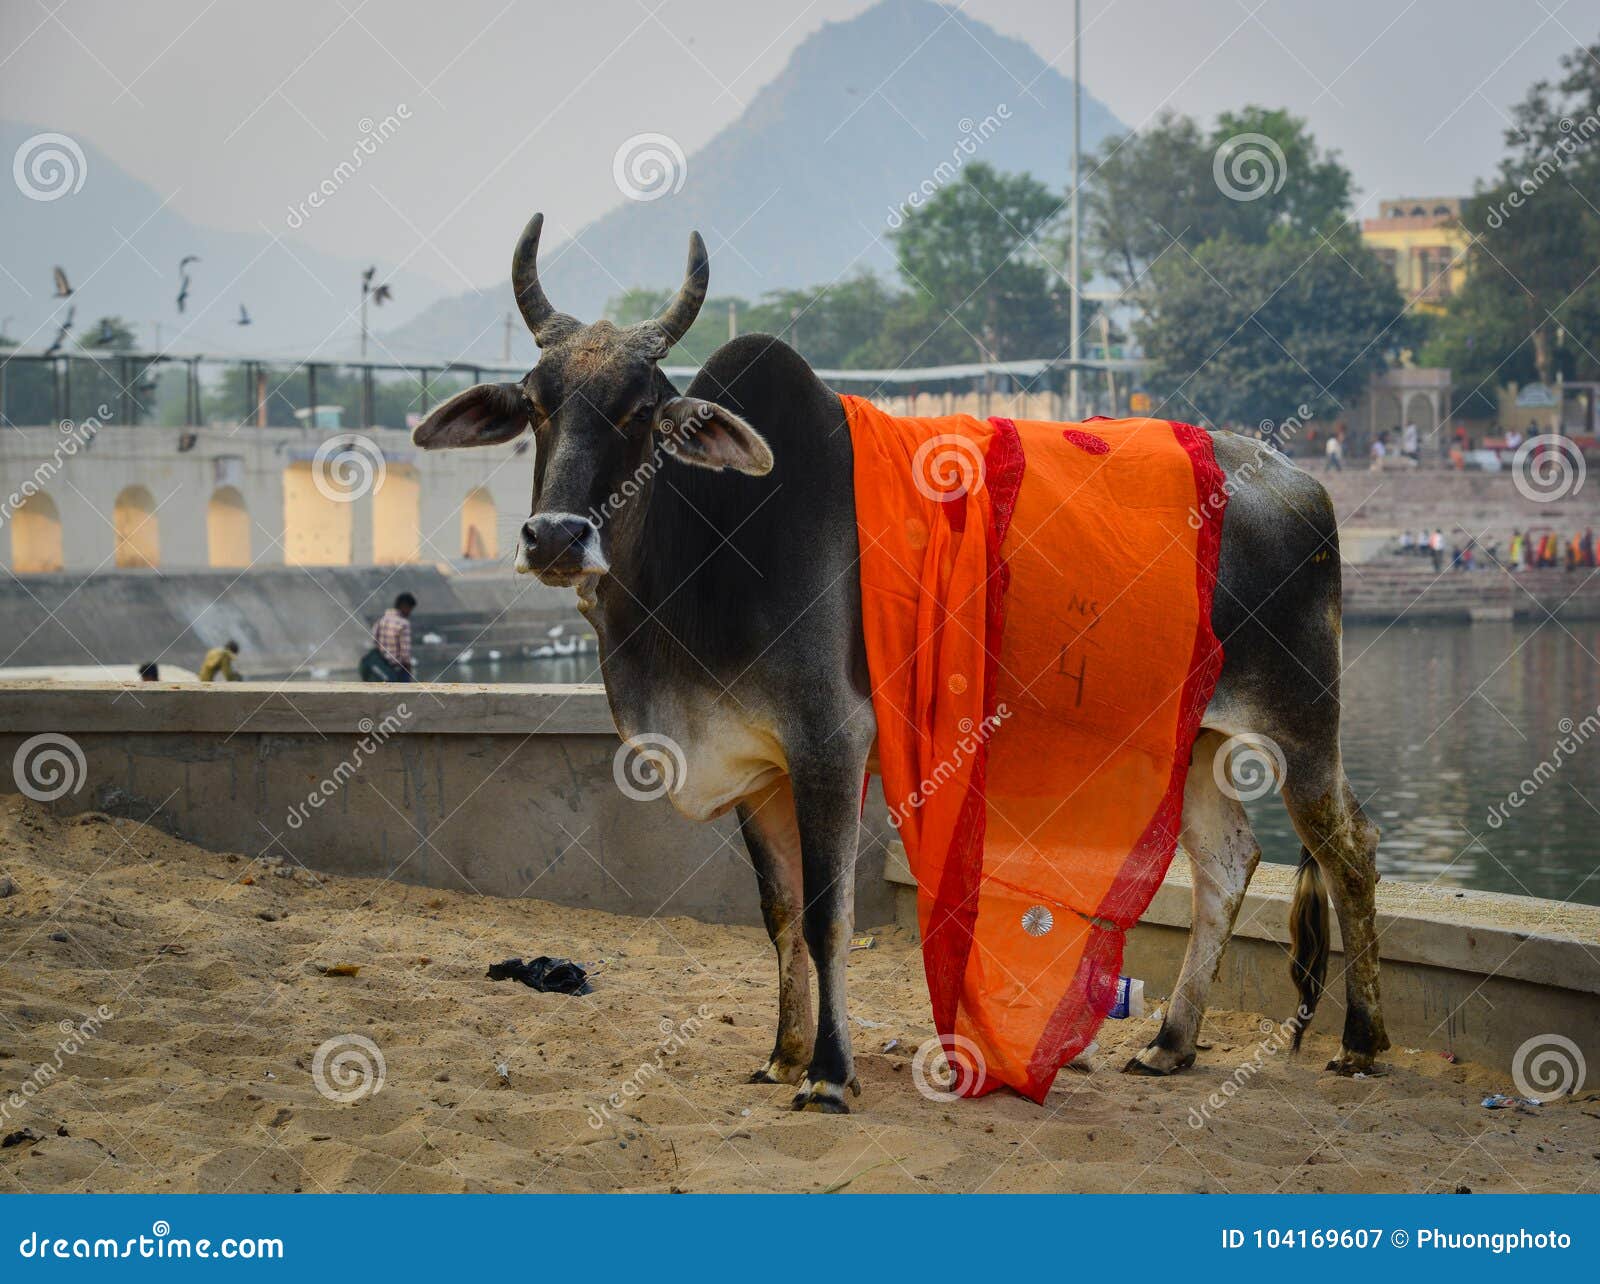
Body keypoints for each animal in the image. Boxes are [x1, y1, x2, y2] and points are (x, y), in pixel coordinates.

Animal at [413, 213, 1388, 1113]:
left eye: (642, 411)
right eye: (536, 403)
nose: (554, 536)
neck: (712, 548)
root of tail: (1300, 482)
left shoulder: (829, 744)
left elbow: (827, 915)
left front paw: (829, 1074)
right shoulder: (760, 766)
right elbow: (778, 917)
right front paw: (782, 1056)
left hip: (1302, 723)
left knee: (1349, 848)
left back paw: (1362, 1041)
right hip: (1194, 741)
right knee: (1228, 865)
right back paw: (1172, 1043)